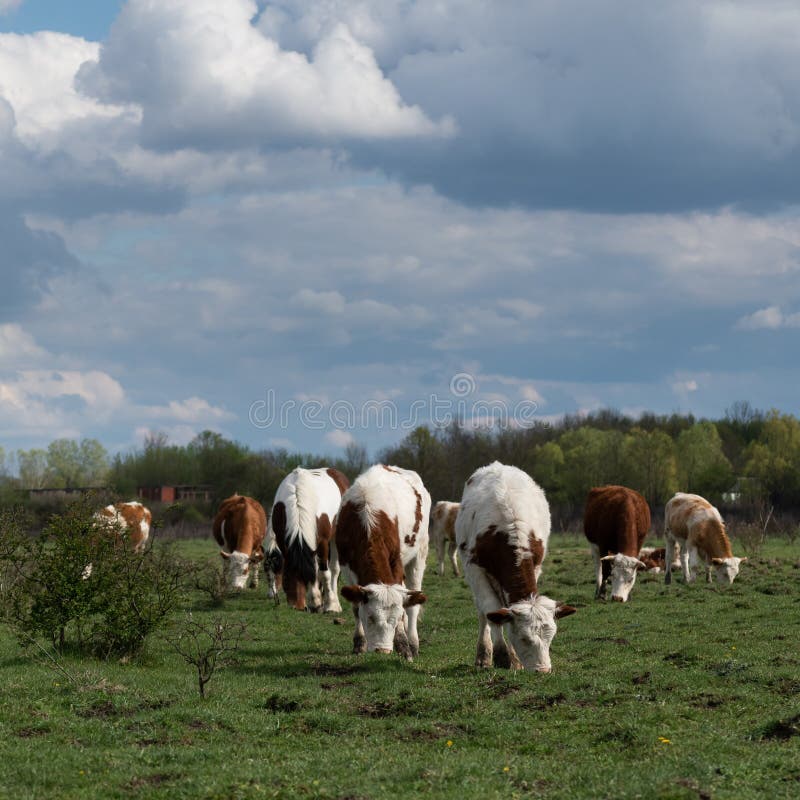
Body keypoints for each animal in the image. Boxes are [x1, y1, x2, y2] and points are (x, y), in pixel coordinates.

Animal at [267, 467, 350, 612]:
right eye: (286, 577)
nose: (299, 607)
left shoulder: (323, 542)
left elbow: (324, 573)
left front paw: (330, 605)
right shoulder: (284, 542)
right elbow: (315, 570)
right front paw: (315, 601)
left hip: (334, 539)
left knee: (334, 570)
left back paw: (334, 603)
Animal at [336, 464, 430, 660]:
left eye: (394, 620)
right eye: (370, 617)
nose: (383, 650)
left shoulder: (396, 563)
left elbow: (404, 608)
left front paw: (403, 645)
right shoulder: (347, 566)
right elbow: (355, 607)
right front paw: (359, 643)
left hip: (419, 555)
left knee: (413, 606)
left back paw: (413, 642)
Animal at [456, 462, 576, 672]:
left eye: (550, 638)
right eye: (524, 638)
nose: (543, 670)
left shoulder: (536, 565)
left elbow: (503, 612)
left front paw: (514, 658)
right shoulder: (475, 568)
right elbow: (491, 610)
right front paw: (502, 655)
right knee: (483, 612)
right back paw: (483, 654)